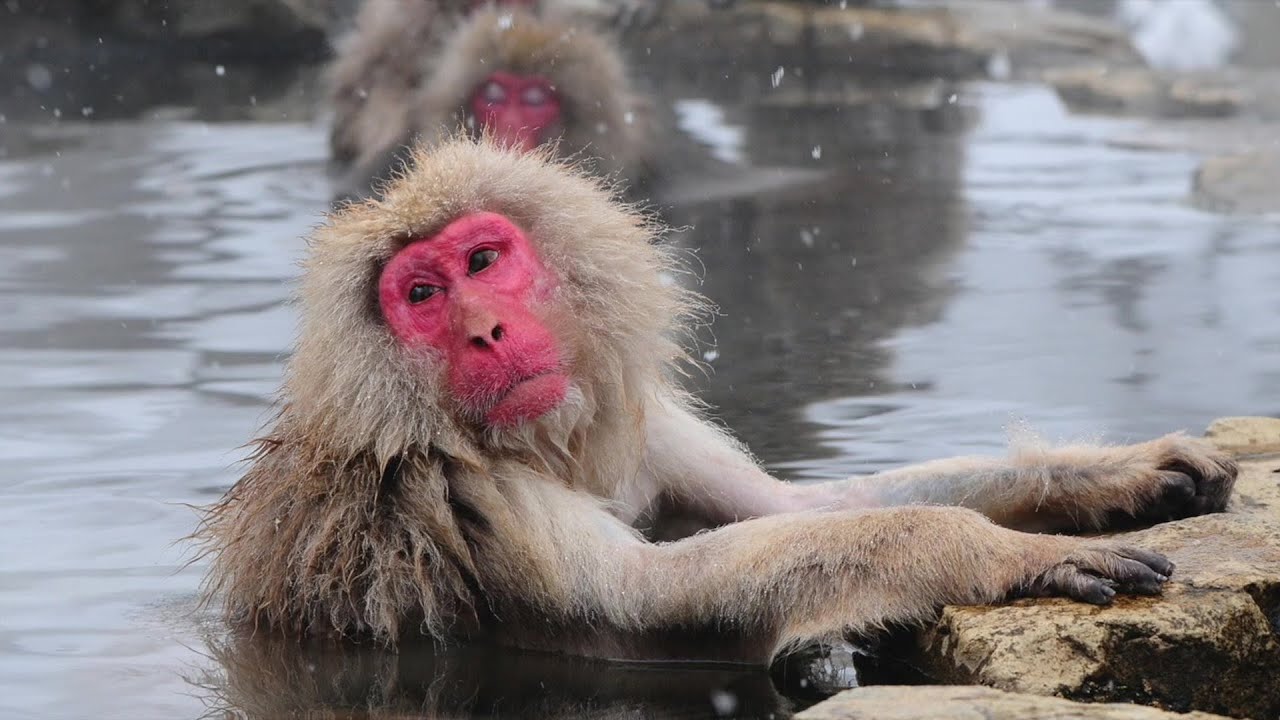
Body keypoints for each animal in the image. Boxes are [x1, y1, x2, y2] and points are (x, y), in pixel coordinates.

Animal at [197, 138, 1237, 666]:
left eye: (483, 261)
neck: (533, 443)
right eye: (421, 295)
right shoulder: (469, 490)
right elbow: (651, 598)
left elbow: (795, 507)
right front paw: (1006, 554)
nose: (485, 330)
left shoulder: (637, 424)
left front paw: (1112, 473)